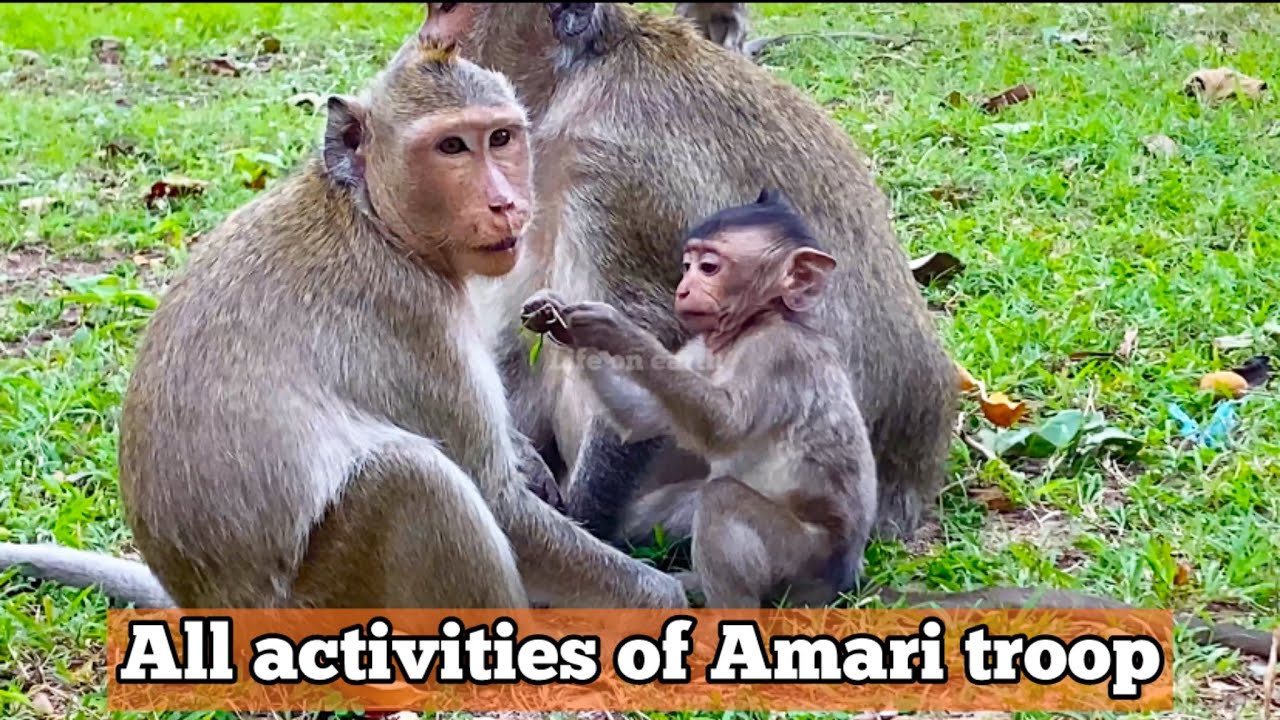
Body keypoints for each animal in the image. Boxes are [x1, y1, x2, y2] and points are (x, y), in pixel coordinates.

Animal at [0, 25, 686, 611]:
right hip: (326, 603)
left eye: (500, 138)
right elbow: (499, 503)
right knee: (410, 478)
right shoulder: (416, 318)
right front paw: (670, 598)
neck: (373, 217)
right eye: (451, 147)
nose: (506, 203)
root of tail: (208, 614)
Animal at [521, 189, 876, 609]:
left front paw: (616, 329)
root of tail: (847, 574)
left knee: (720, 500)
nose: (683, 288)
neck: (745, 330)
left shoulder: (776, 353)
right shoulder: (699, 349)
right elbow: (642, 417)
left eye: (708, 267)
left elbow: (724, 428)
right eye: (687, 265)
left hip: (806, 561)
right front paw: (564, 322)